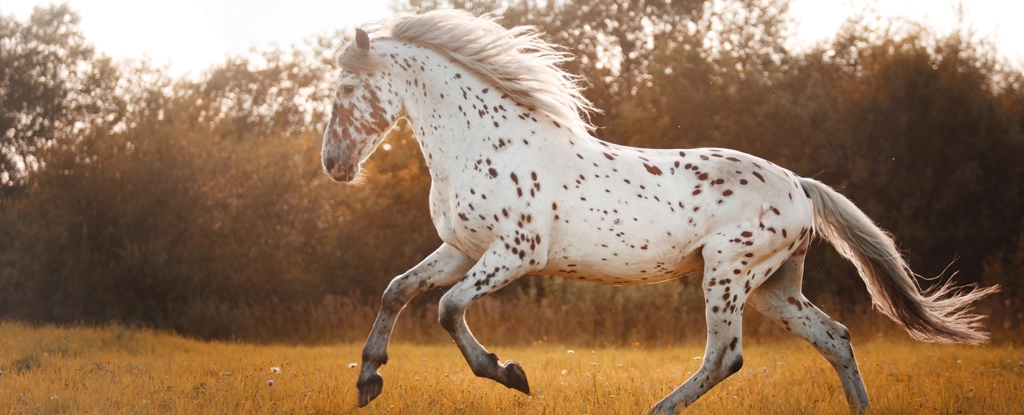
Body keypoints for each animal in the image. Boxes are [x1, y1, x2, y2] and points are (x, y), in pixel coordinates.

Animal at [321, 10, 997, 414]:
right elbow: (397, 290)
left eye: (347, 89)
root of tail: (799, 187)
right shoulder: (462, 248)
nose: (333, 165)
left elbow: (446, 308)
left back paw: (657, 411)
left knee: (725, 356)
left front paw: (509, 373)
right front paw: (368, 381)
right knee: (835, 338)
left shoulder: (514, 254)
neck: (483, 141)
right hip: (775, 287)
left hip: (727, 274)